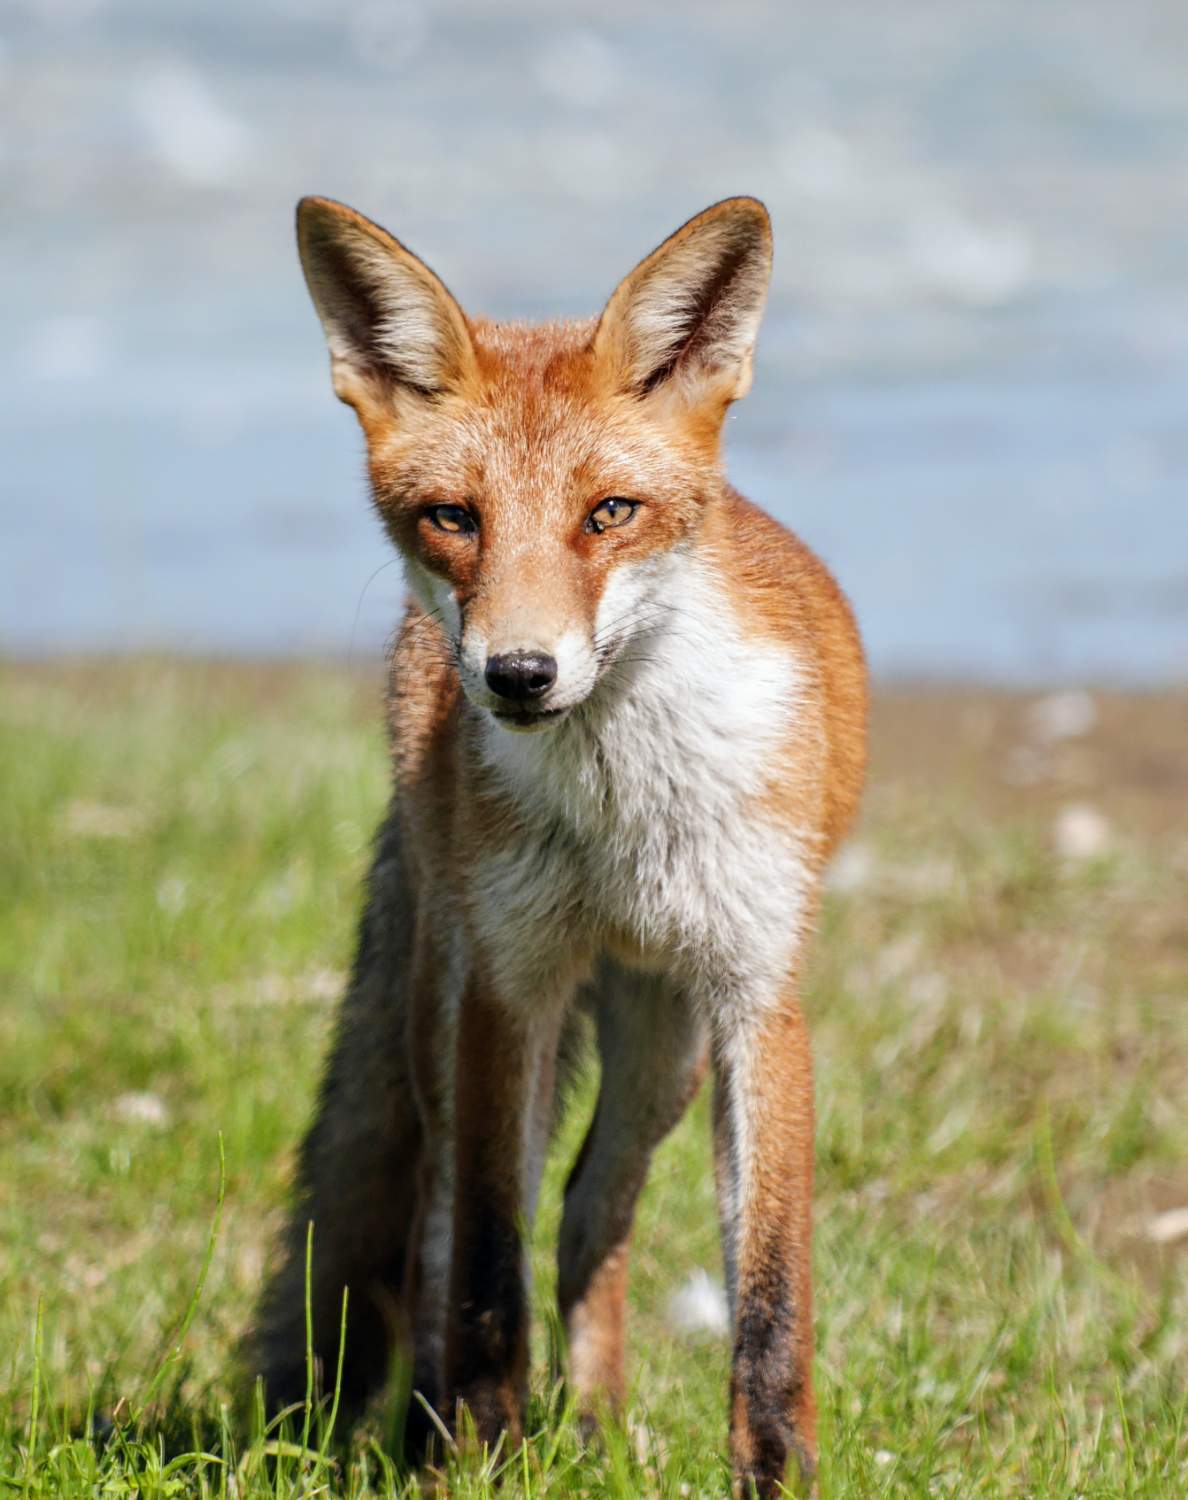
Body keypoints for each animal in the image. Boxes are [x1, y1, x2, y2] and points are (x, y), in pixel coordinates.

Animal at [253, 194, 867, 1498]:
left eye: (609, 514)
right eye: (454, 519)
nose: (519, 674)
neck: (620, 820)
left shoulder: (758, 993)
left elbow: (770, 1302)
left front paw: (772, 1474)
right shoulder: (510, 986)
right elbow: (488, 1274)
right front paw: (479, 1452)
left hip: (662, 1042)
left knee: (595, 1213)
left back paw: (593, 1427)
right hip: (450, 1011)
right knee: (448, 1228)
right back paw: (438, 1437)